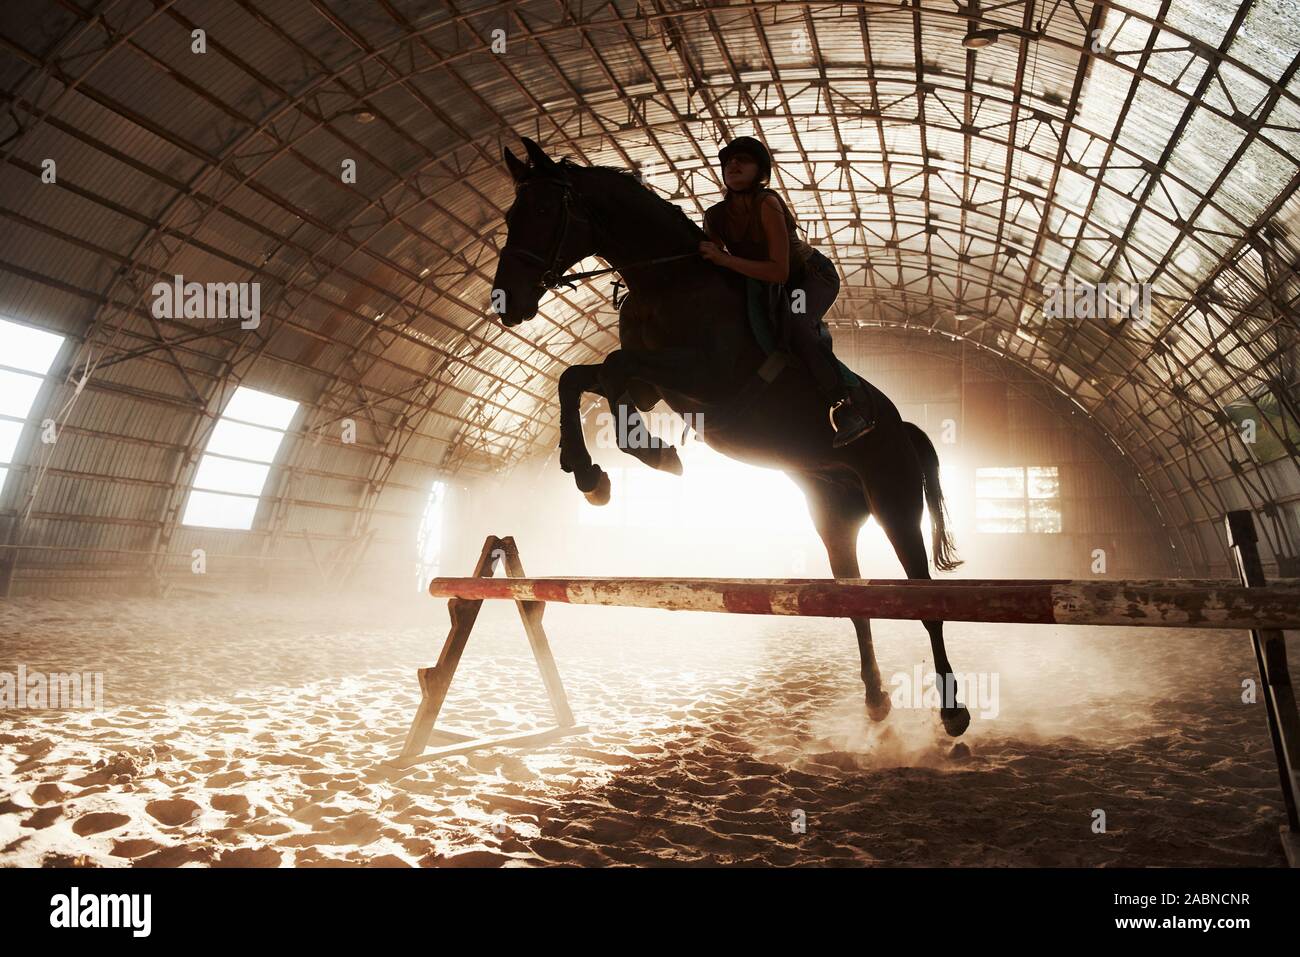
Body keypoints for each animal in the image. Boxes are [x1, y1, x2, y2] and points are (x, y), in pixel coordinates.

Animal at [491, 137, 970, 737]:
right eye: (510, 214)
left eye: (542, 210)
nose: (505, 303)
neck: (667, 281)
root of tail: (902, 428)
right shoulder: (654, 385)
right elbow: (578, 377)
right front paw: (593, 473)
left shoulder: (705, 378)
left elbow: (613, 368)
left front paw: (649, 455)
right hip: (833, 516)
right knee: (854, 600)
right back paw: (876, 700)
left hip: (895, 504)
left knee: (924, 600)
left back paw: (953, 713)